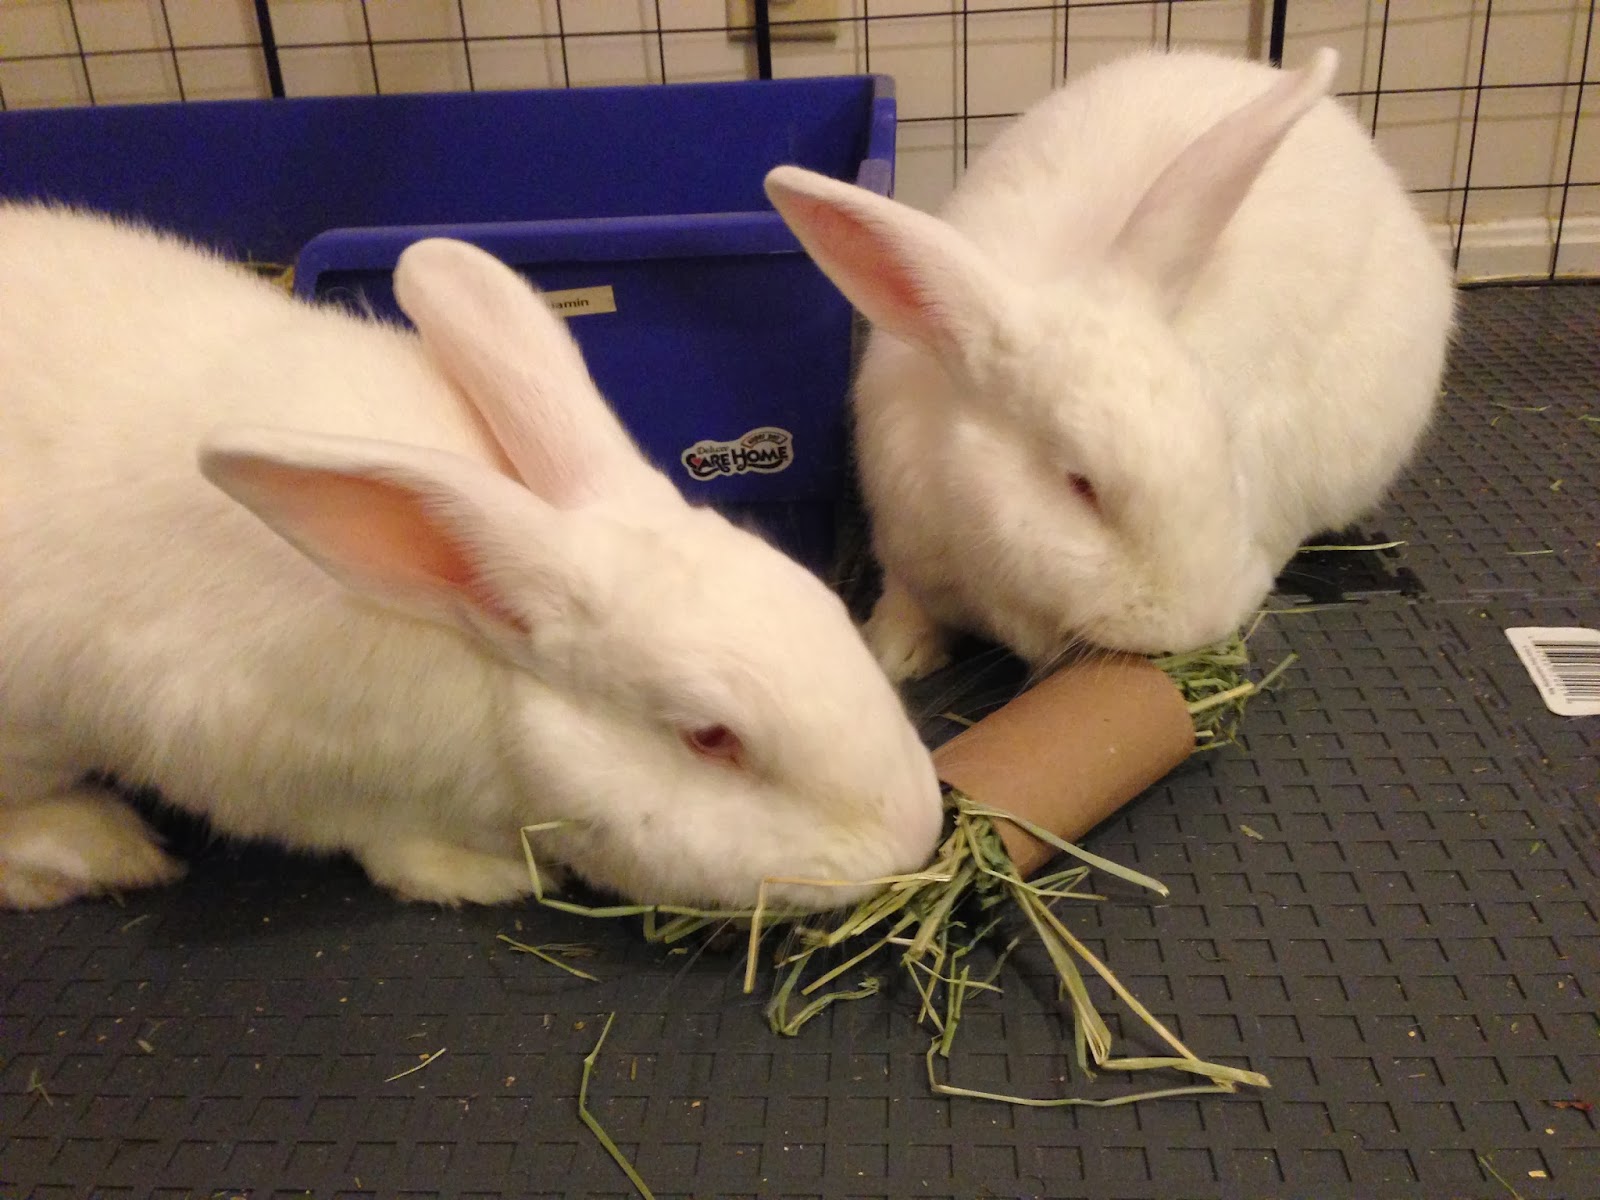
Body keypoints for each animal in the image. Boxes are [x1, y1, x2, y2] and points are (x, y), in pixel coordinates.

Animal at [0, 202, 945, 912]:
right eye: (711, 738)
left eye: (829, 606)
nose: (914, 833)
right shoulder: (260, 757)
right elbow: (378, 842)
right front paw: (486, 875)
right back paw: (100, 850)